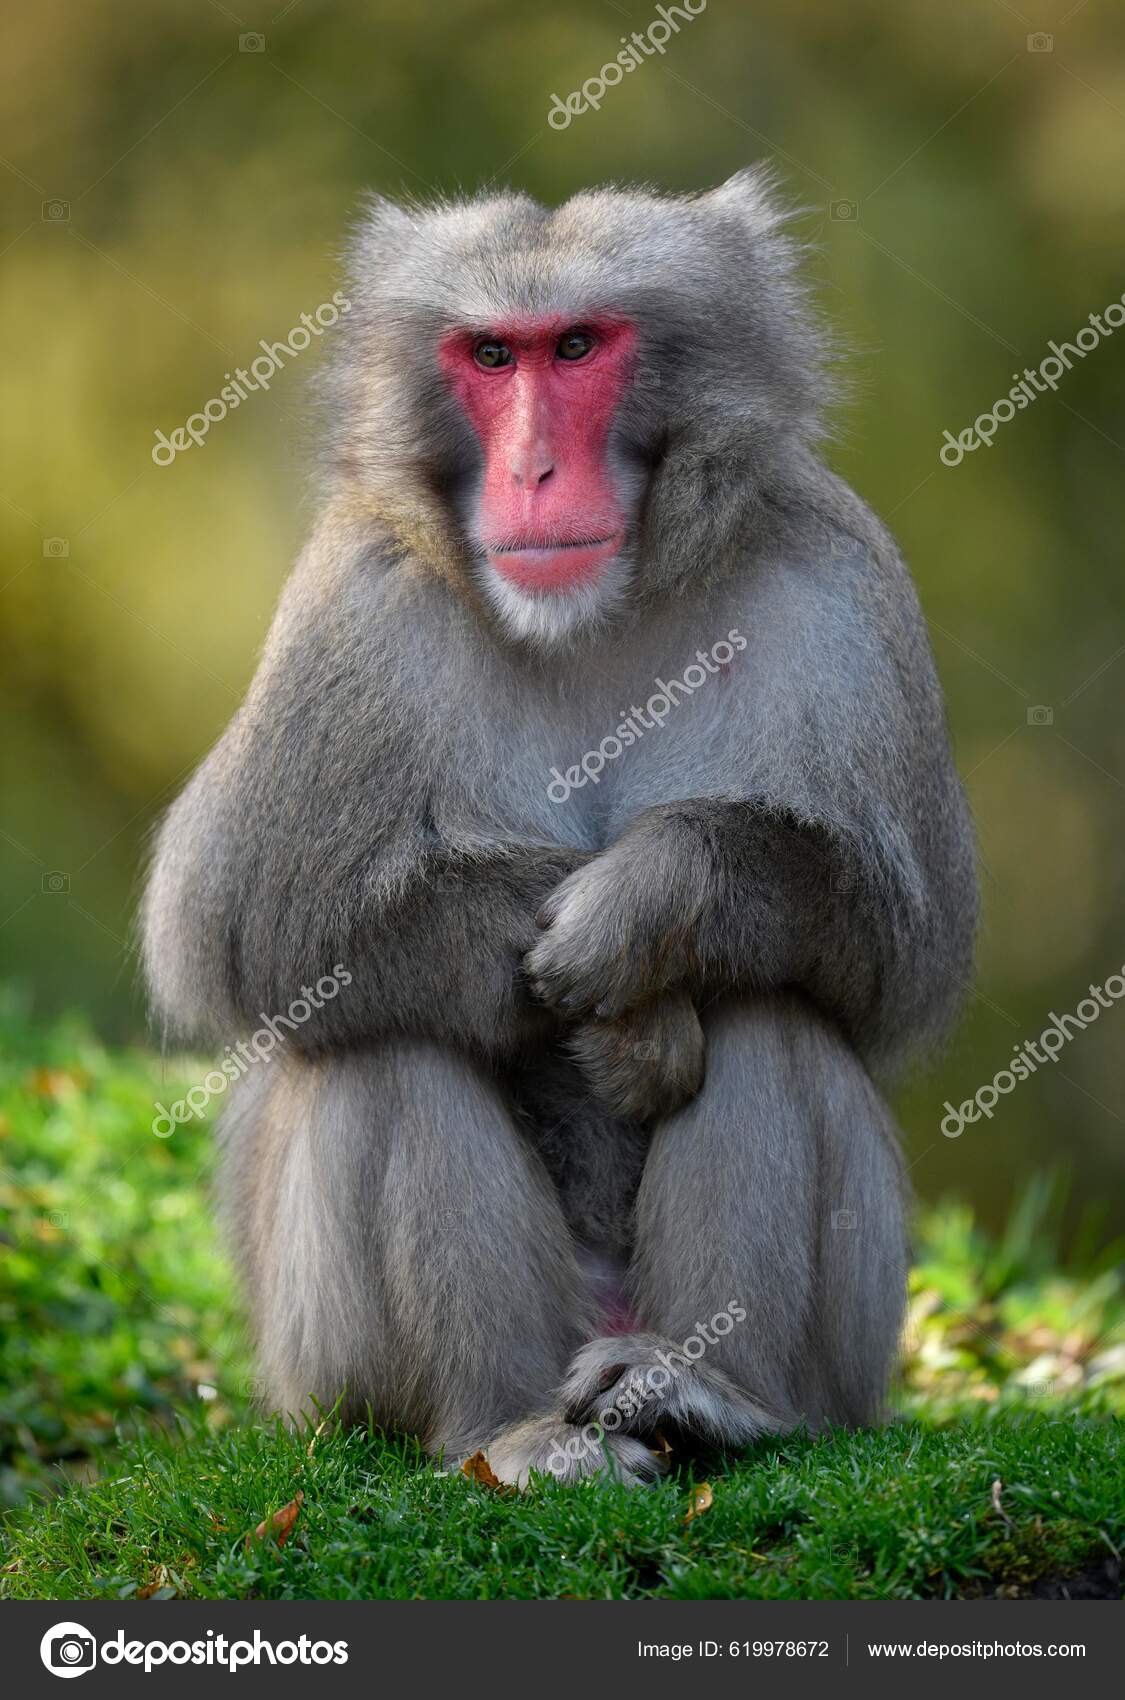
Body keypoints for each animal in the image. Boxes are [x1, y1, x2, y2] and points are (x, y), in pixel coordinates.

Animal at [142, 168, 977, 1487]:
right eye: (491, 354)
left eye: (577, 346)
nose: (532, 469)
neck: (589, 612)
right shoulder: (351, 602)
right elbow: (236, 923)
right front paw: (547, 961)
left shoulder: (839, 573)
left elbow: (906, 948)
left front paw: (649, 908)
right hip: (325, 1378)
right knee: (384, 1038)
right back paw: (508, 1427)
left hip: (835, 1359)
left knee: (775, 1009)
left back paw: (711, 1393)